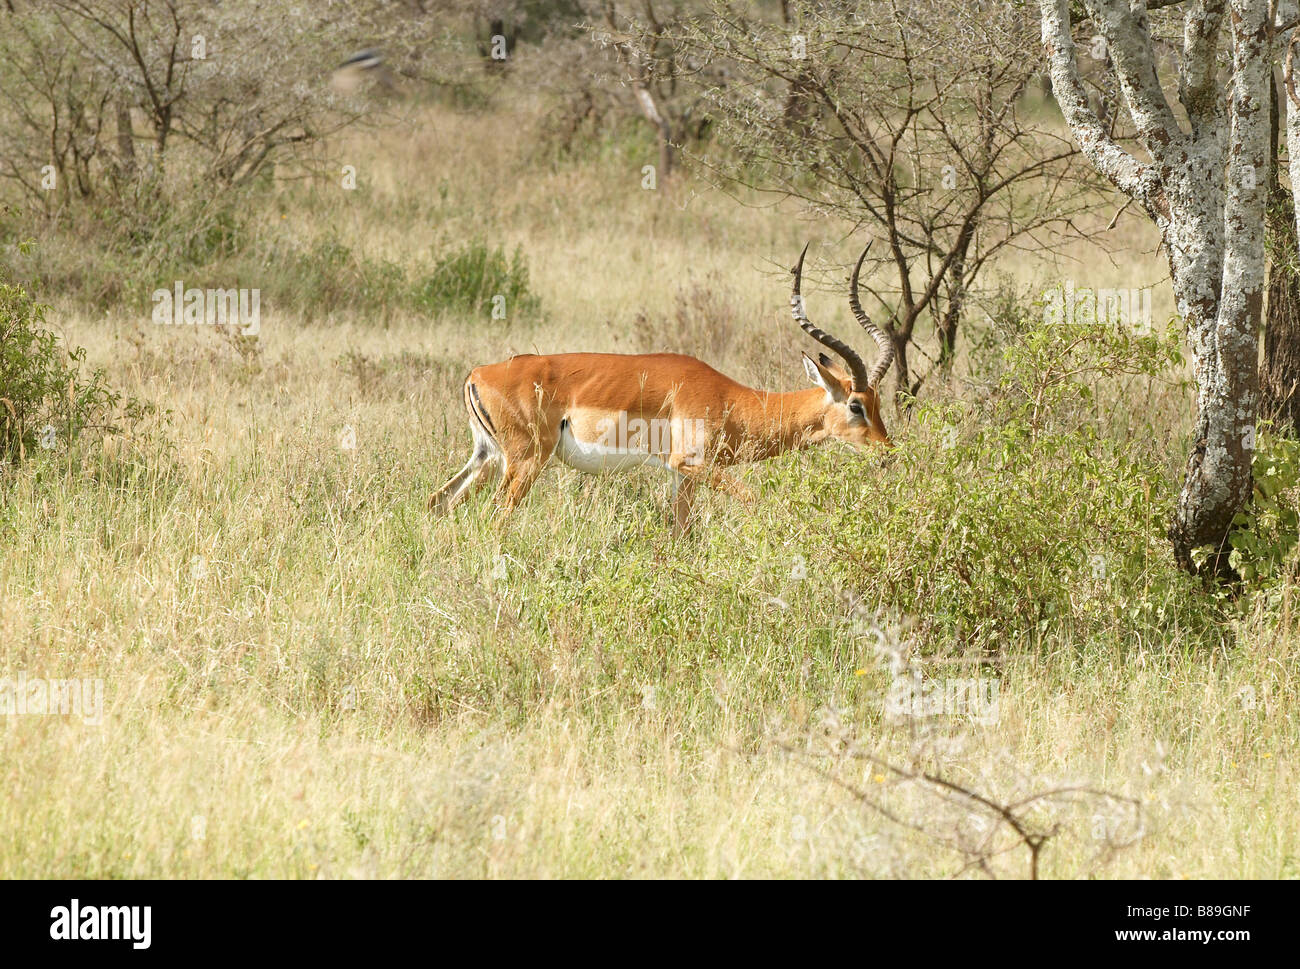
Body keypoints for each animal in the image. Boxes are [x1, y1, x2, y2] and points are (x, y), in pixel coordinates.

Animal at [430, 244, 895, 533]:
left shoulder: (681, 478)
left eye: (879, 402)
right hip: (525, 462)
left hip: (488, 458)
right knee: (495, 519)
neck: (731, 399)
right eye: (856, 405)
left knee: (440, 501)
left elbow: (681, 534)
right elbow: (753, 497)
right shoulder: (692, 464)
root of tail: (477, 374)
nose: (889, 453)